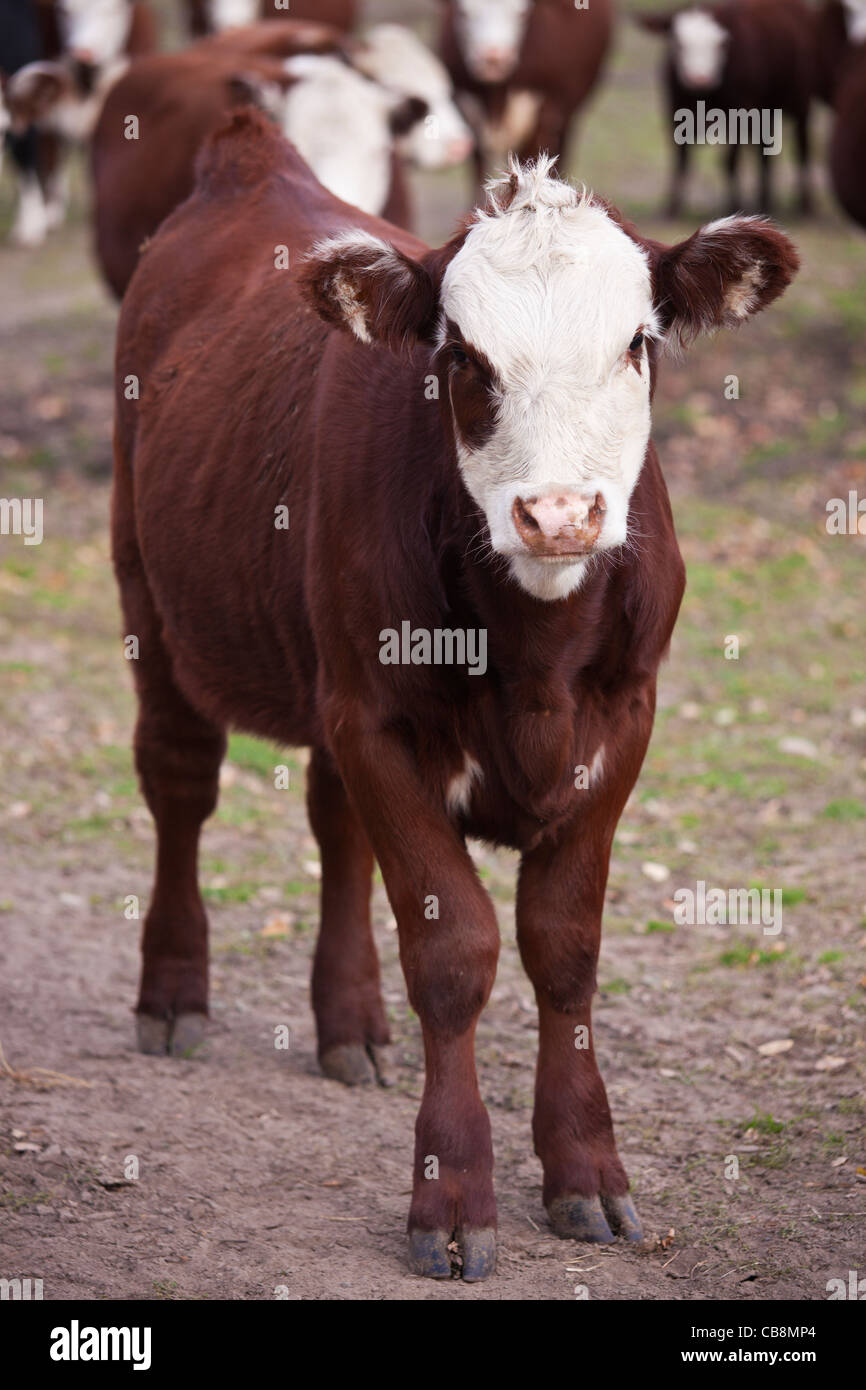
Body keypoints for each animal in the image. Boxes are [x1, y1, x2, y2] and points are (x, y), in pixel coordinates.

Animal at [113, 106, 798, 1278]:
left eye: (638, 343)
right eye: (462, 357)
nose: (559, 513)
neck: (535, 652)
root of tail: (250, 155)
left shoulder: (623, 719)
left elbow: (563, 949)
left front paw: (586, 1173)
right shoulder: (380, 724)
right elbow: (453, 951)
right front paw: (451, 1193)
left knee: (331, 821)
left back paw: (348, 1025)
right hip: (151, 600)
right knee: (180, 785)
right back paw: (171, 991)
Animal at [637, 0, 815, 217]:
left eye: (720, 45)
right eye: (678, 43)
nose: (699, 79)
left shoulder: (739, 114)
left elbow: (729, 161)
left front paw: (733, 204)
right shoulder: (675, 111)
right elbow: (681, 159)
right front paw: (672, 207)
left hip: (800, 99)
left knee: (802, 145)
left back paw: (805, 203)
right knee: (764, 152)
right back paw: (765, 200)